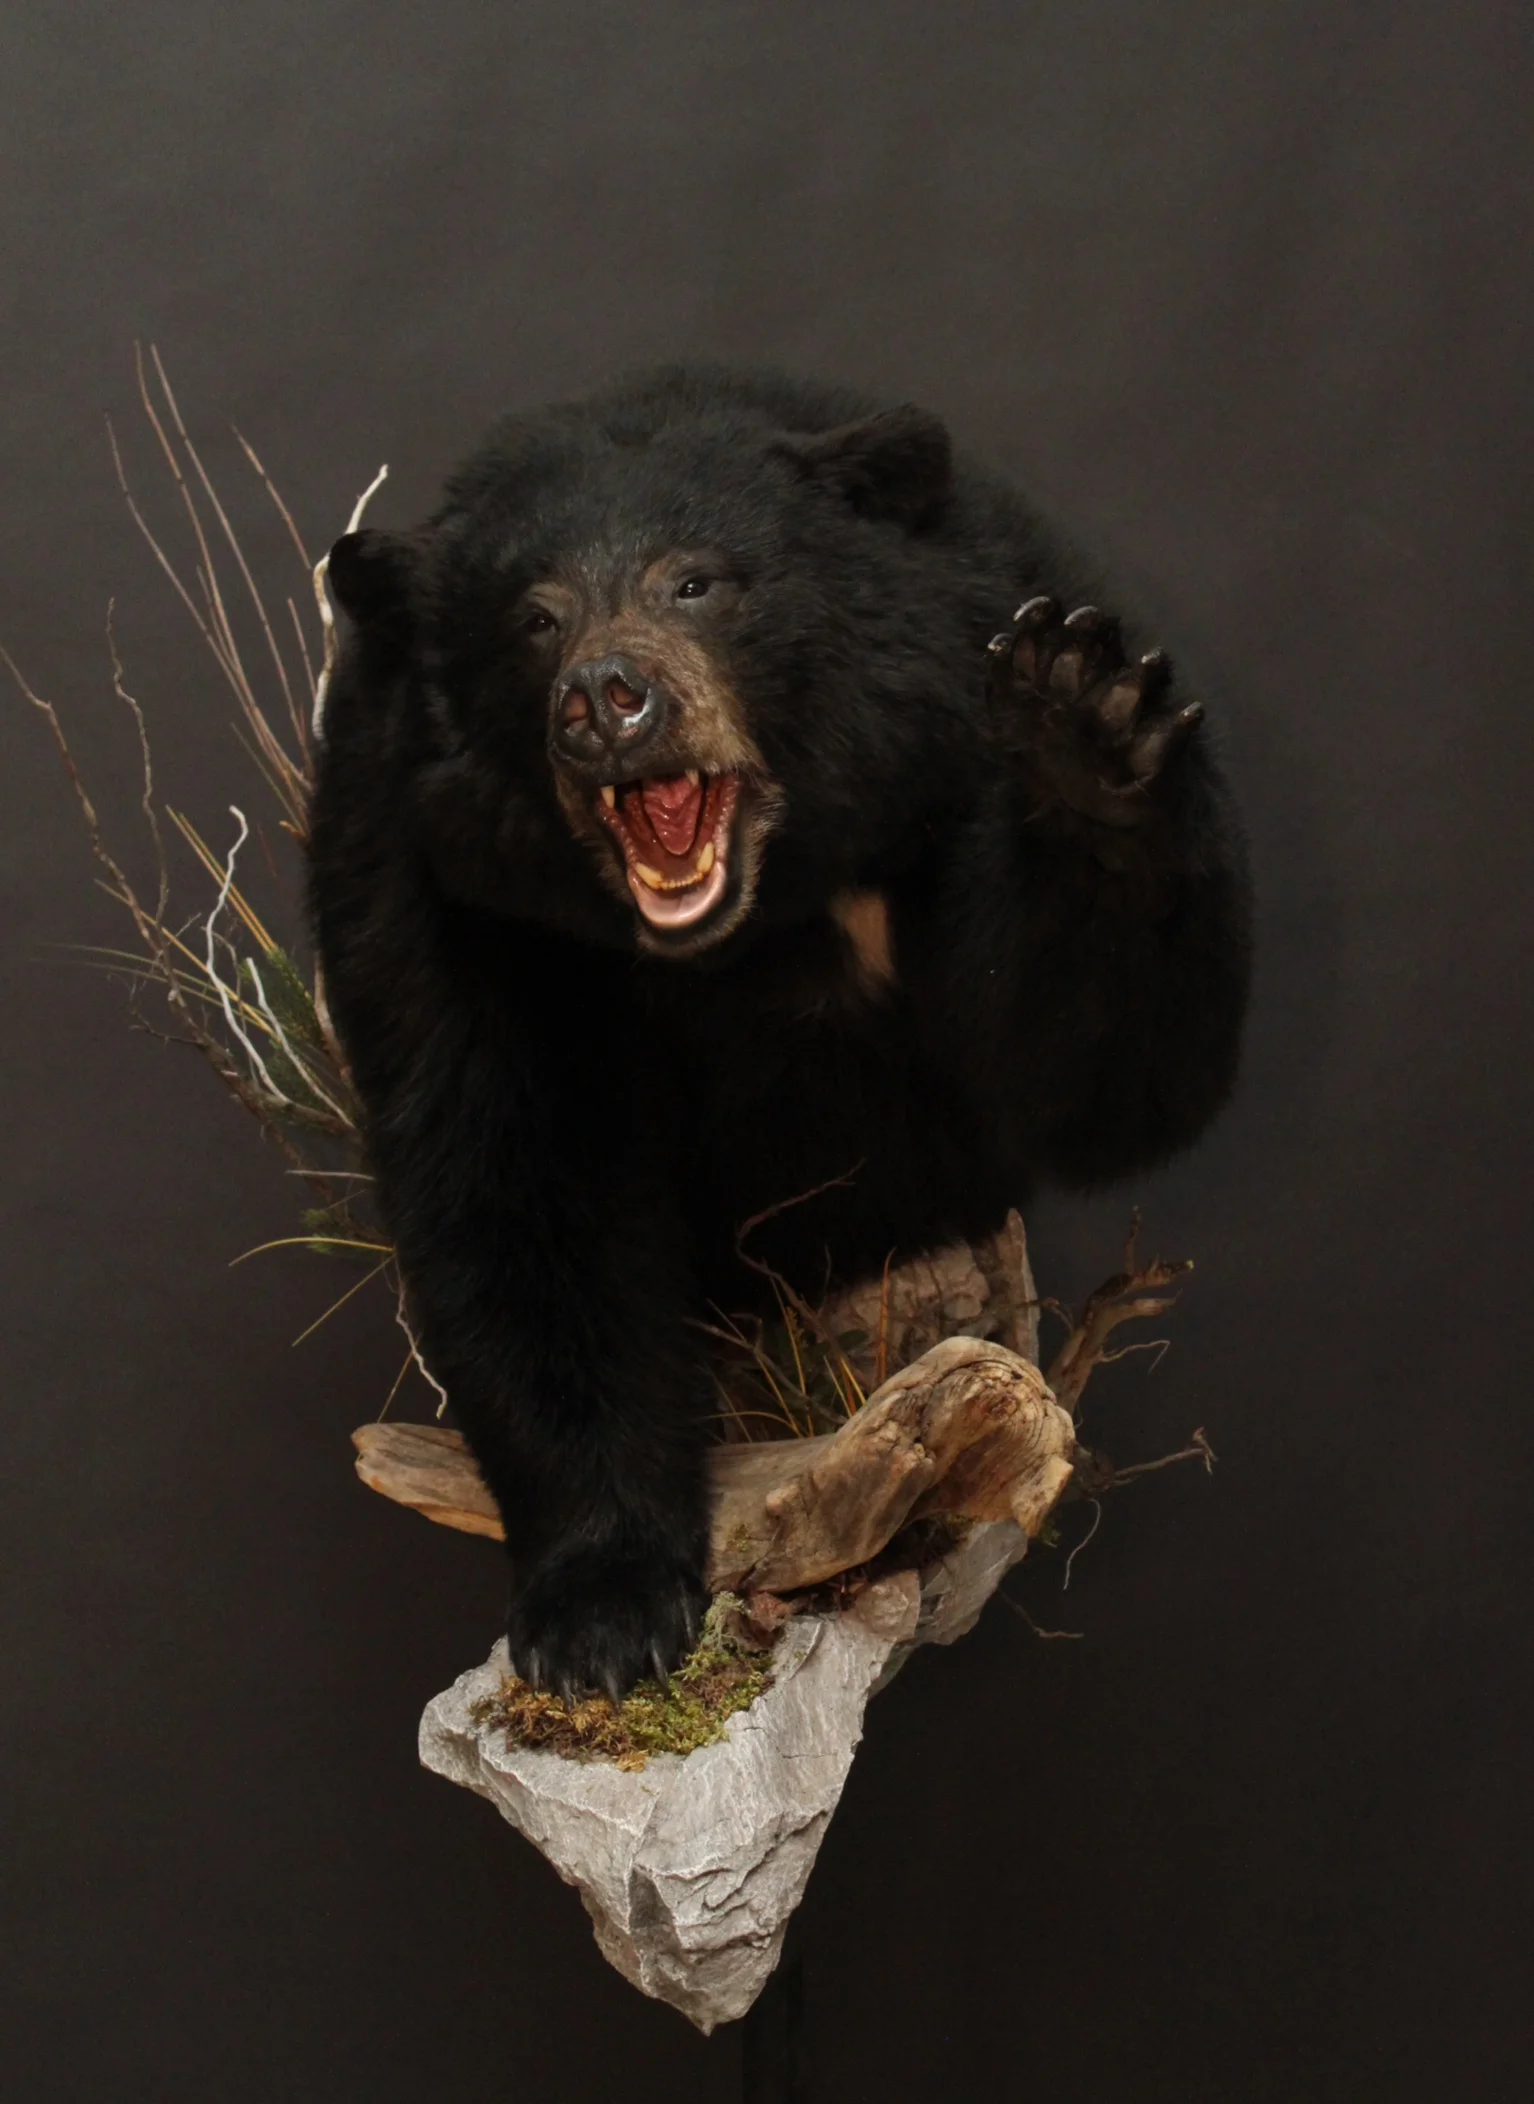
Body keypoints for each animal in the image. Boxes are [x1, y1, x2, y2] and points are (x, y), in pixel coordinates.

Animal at [308, 364, 1251, 1700]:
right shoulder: (436, 873)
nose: (607, 698)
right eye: (533, 618)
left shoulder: (949, 734)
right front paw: (601, 1611)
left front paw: (1086, 739)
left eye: (698, 581)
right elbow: (511, 1165)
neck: (754, 909)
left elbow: (1092, 1078)